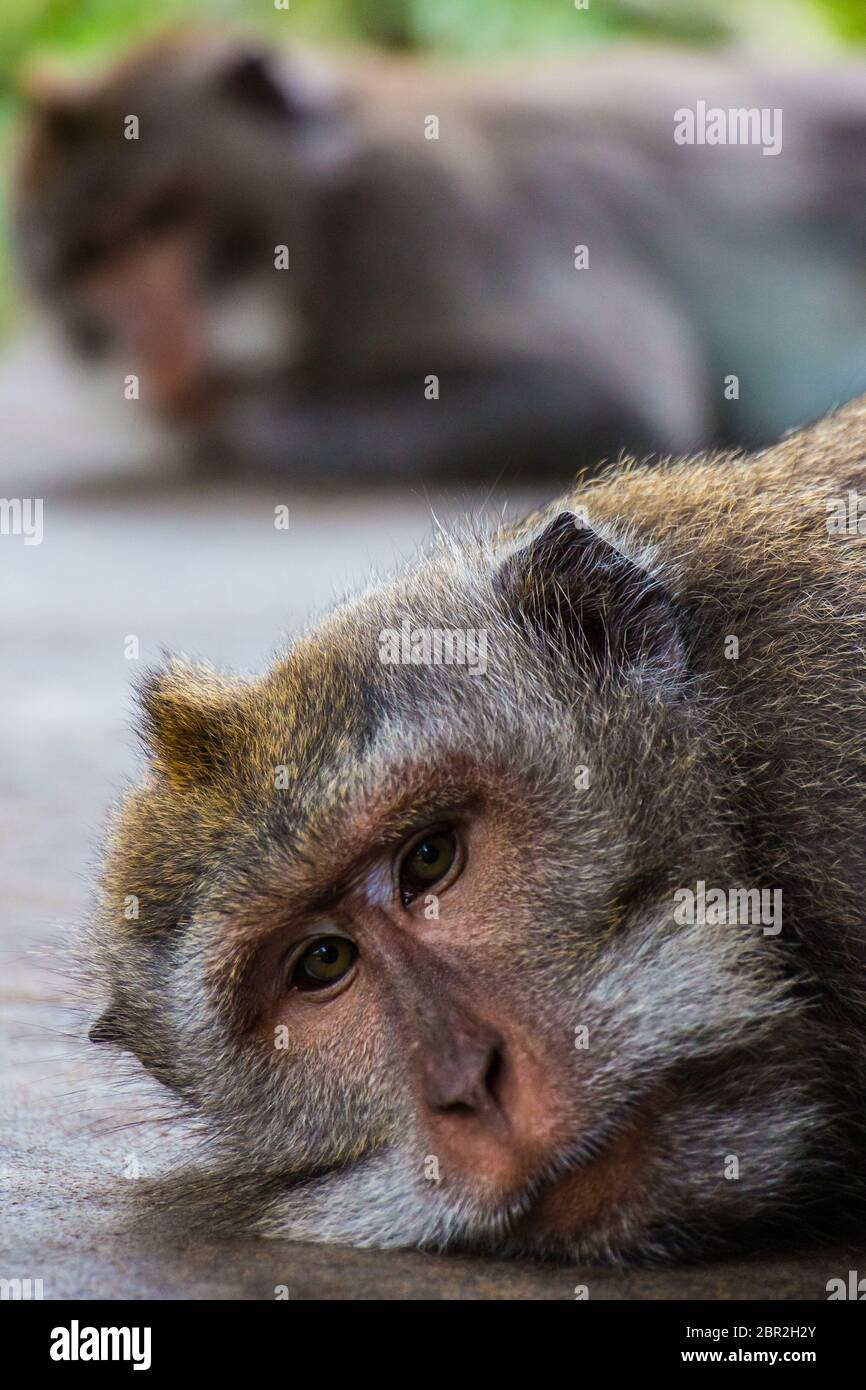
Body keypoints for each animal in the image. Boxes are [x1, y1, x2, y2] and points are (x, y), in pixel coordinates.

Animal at [15, 28, 866, 481]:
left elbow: (617, 392)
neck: (322, 220)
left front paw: (234, 426)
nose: (149, 335)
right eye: (92, 255)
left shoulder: (427, 218)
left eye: (155, 218)